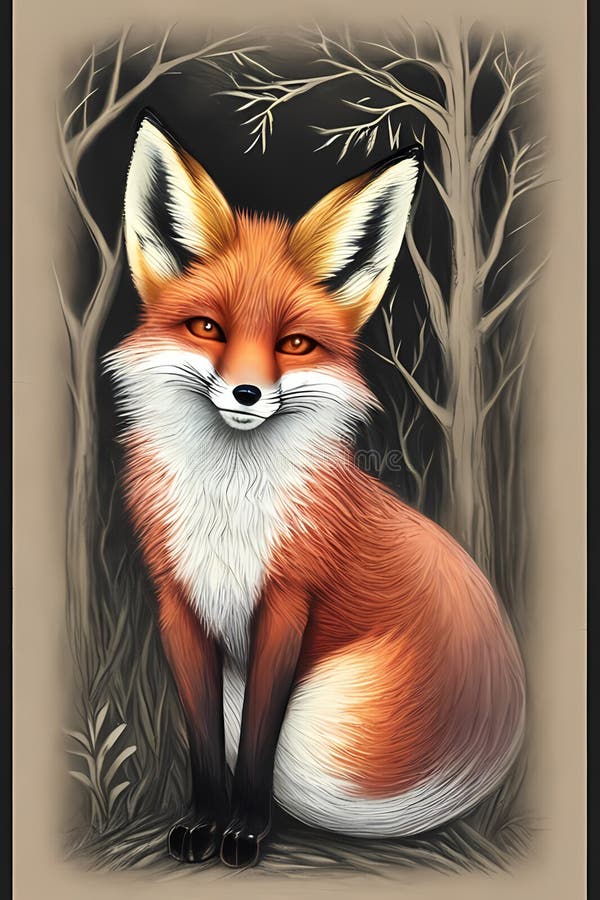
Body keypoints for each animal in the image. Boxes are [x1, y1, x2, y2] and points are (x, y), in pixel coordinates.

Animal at [105, 110, 526, 869]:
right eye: (208, 328)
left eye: (294, 344)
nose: (246, 393)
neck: (228, 509)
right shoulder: (176, 598)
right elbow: (204, 737)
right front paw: (200, 823)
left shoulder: (288, 600)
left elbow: (256, 741)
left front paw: (244, 830)